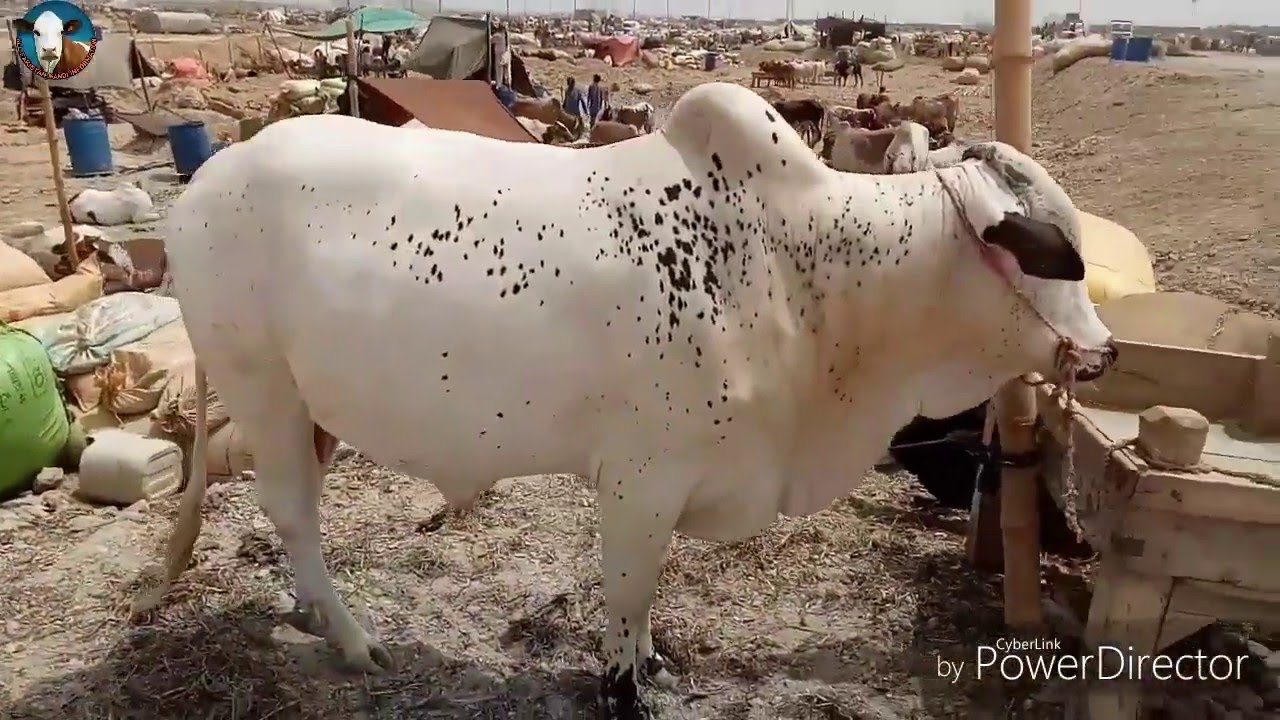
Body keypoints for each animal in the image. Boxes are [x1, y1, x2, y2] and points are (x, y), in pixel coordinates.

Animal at [135, 82, 1115, 720]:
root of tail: (210, 177)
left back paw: (310, 614)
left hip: (312, 413)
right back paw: (351, 639)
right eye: (1056, 251)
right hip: (264, 389)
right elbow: (627, 592)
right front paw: (621, 687)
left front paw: (653, 663)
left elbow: (643, 607)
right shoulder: (641, 483)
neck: (812, 272)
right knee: (292, 512)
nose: (1103, 352)